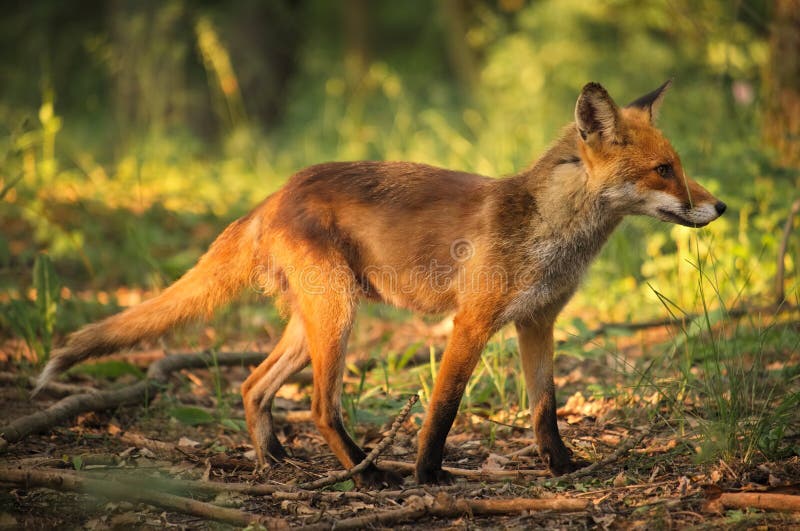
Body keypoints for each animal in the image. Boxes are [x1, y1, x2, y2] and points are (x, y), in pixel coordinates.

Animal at [34, 81, 725, 487]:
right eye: (664, 170)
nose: (719, 207)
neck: (552, 233)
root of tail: (275, 193)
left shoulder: (538, 321)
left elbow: (545, 408)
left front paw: (564, 468)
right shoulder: (472, 321)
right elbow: (444, 408)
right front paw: (428, 477)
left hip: (311, 322)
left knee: (254, 385)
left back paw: (274, 461)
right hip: (337, 318)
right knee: (318, 406)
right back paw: (366, 476)